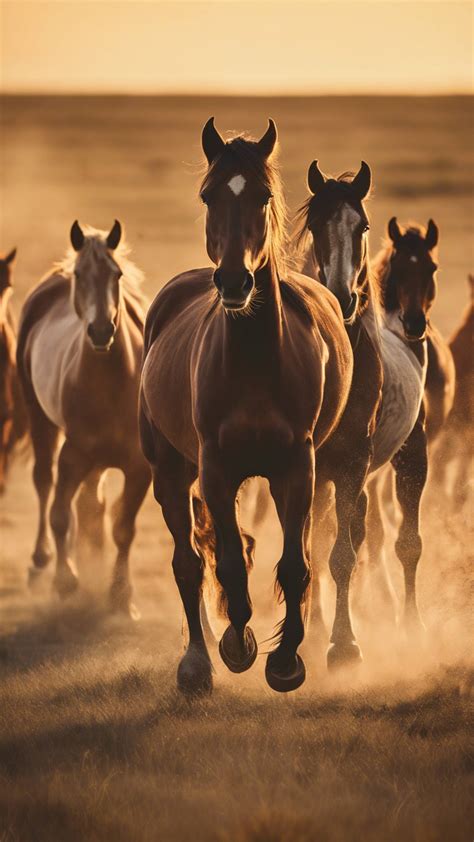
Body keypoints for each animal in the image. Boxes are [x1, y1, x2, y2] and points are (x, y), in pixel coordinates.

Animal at [17, 222, 151, 616]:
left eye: (116, 274)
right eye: (81, 275)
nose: (101, 330)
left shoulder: (138, 467)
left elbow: (123, 526)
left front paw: (121, 596)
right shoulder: (72, 457)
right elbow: (60, 514)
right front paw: (65, 582)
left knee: (92, 504)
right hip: (41, 421)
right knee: (44, 483)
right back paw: (40, 561)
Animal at [139, 118, 353, 695]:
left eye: (262, 195)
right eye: (208, 195)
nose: (235, 282)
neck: (256, 361)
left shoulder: (297, 469)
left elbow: (296, 565)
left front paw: (286, 661)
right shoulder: (216, 470)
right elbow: (230, 564)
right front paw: (239, 645)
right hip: (170, 470)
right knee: (188, 564)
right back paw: (196, 663)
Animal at [298, 165, 429, 640]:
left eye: (363, 227)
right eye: (315, 224)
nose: (341, 296)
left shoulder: (354, 463)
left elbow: (343, 554)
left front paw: (344, 642)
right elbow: (315, 550)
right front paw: (314, 631)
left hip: (411, 456)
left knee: (407, 542)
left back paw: (410, 621)